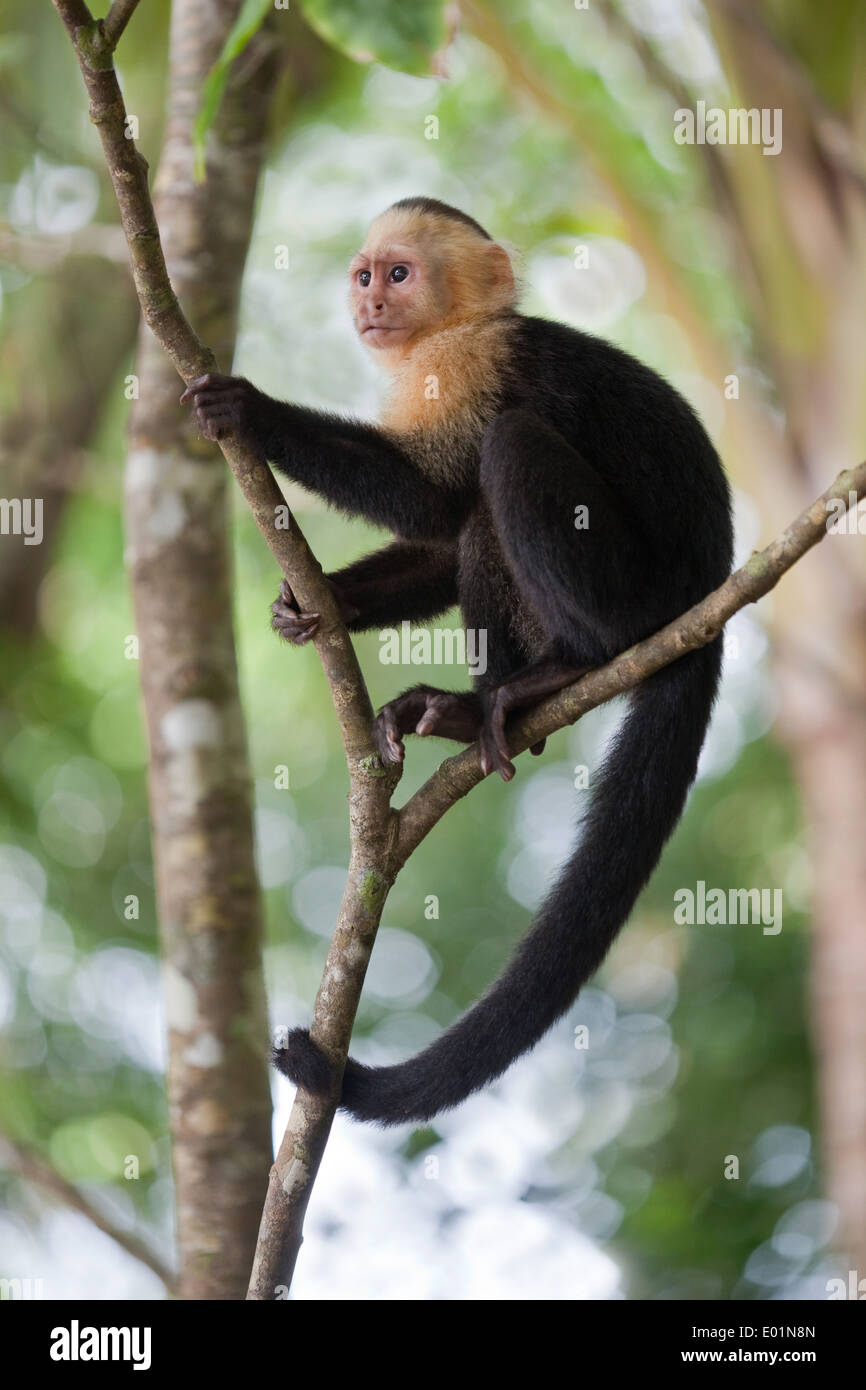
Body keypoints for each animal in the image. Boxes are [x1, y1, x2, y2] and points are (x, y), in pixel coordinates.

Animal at [180, 195, 733, 1123]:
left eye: (401, 274)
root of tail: (711, 602)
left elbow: (437, 495)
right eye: (366, 275)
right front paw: (321, 602)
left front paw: (250, 411)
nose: (371, 301)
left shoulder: (472, 361)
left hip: (643, 589)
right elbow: (442, 537)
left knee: (508, 453)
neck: (454, 326)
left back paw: (573, 664)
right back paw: (476, 710)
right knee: (480, 519)